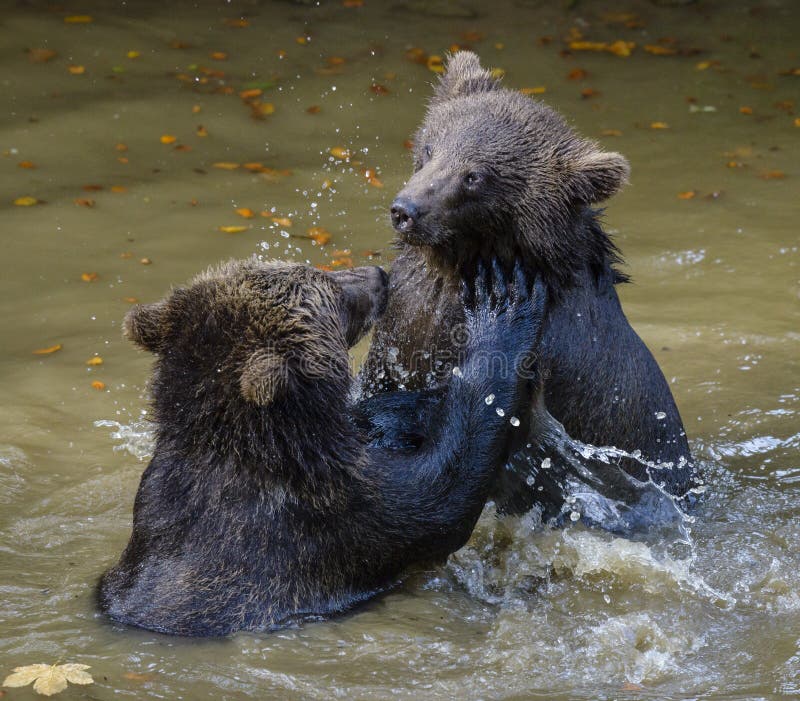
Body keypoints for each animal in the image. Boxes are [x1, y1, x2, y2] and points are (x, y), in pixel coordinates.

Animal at [98, 256, 546, 636]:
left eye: (312, 267)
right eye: (332, 290)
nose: (379, 276)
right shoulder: (331, 519)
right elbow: (446, 494)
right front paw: (500, 306)